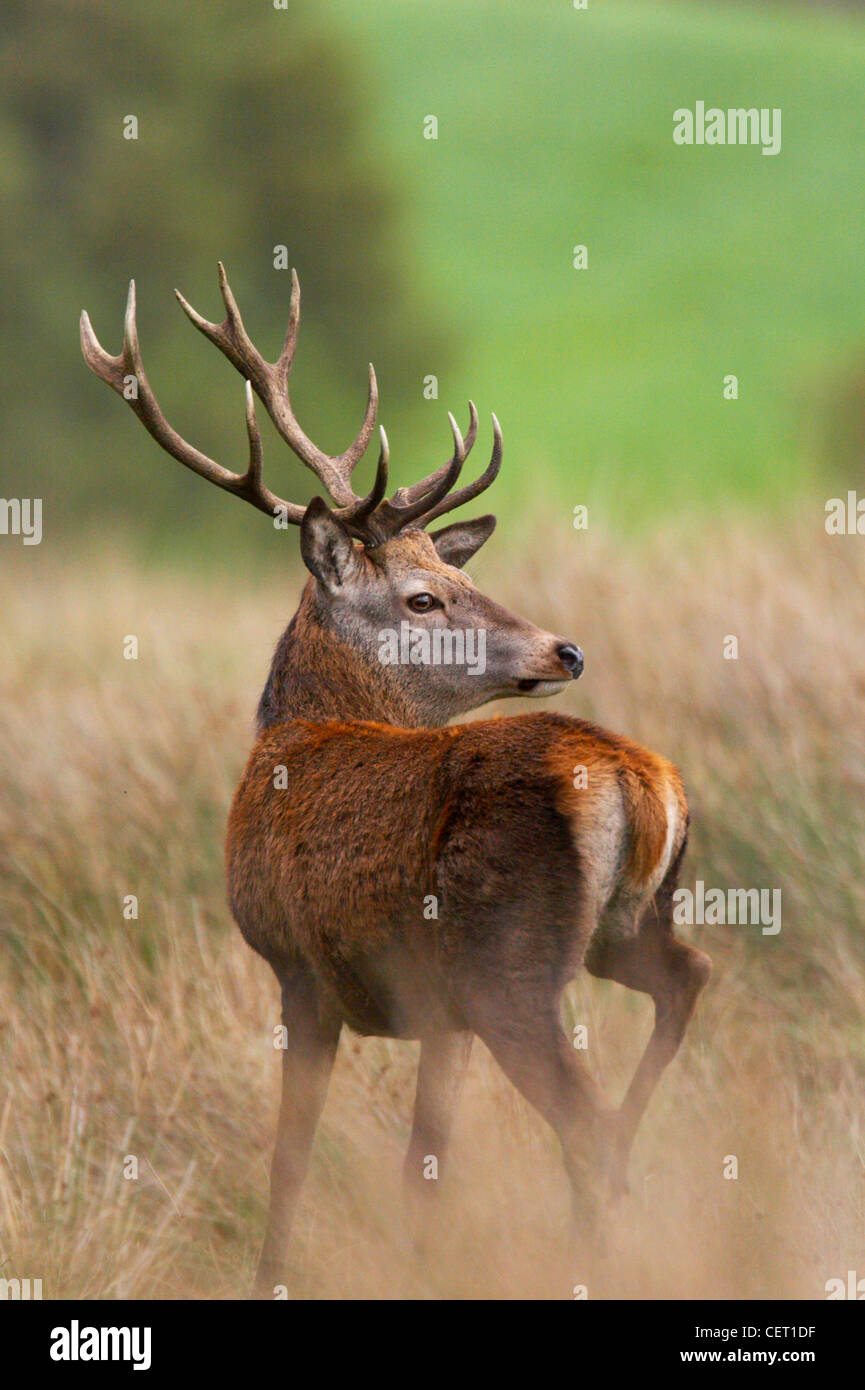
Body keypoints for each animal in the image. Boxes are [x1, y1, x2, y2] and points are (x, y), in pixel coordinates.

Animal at [80, 264, 712, 1295]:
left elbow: (290, 1158)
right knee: (683, 984)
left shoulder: (296, 964)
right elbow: (426, 1162)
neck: (291, 736)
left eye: (456, 582)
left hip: (509, 962)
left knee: (580, 1118)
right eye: (423, 597)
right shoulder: (434, 1011)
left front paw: (272, 1275)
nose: (565, 648)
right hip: (615, 930)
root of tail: (635, 779)